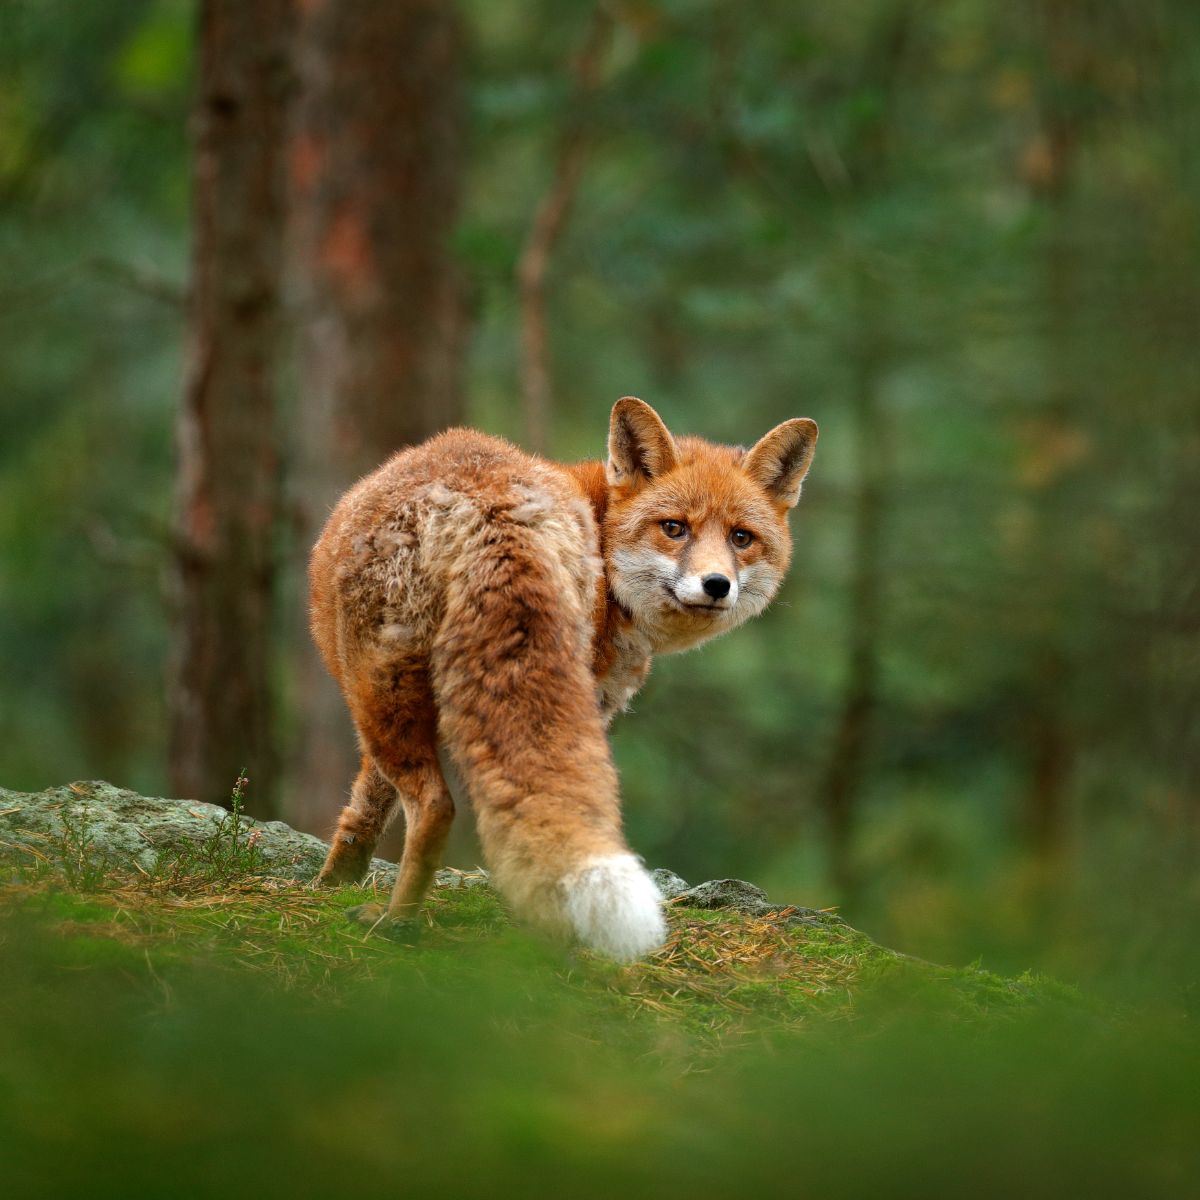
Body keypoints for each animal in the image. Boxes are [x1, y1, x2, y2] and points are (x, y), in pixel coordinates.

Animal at [311, 397, 817, 961]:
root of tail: (493, 508)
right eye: (674, 528)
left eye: (740, 538)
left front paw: (332, 884)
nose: (716, 584)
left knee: (435, 807)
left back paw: (397, 921)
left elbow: (365, 804)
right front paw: (334, 882)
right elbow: (368, 804)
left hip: (376, 688)